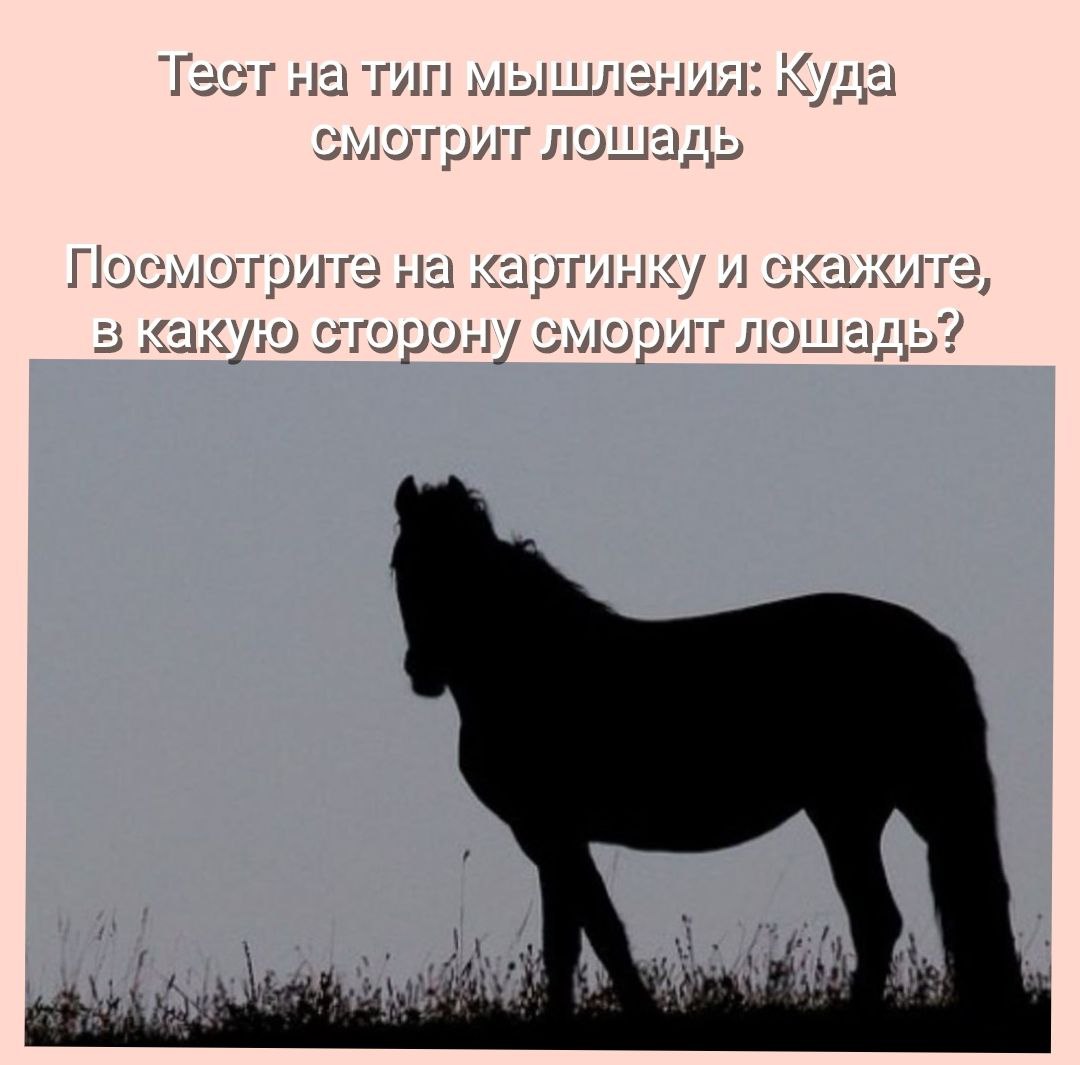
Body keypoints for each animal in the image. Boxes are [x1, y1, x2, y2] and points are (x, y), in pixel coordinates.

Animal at [390, 475, 1023, 1015]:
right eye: (400, 563)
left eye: (465, 568)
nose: (422, 670)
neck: (536, 665)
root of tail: (933, 644)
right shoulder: (549, 836)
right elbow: (565, 945)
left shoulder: (553, 831)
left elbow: (601, 934)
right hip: (888, 807)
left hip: (851, 811)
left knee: (877, 919)